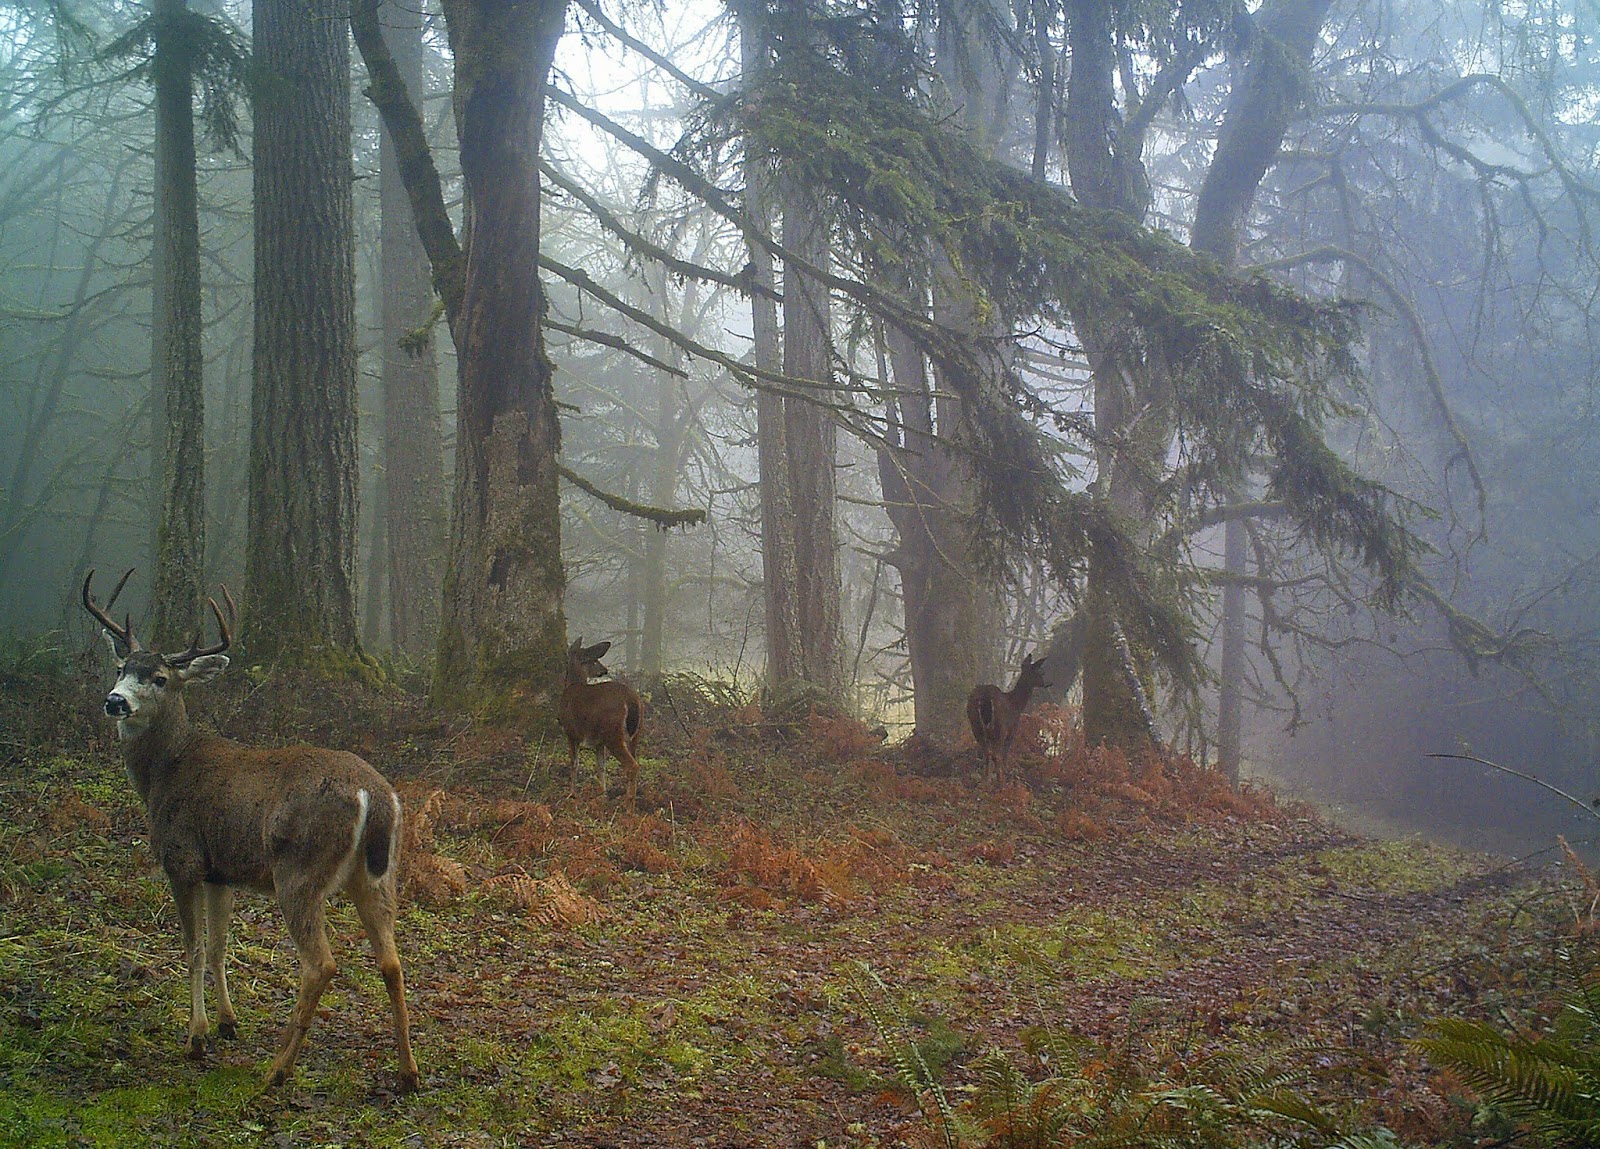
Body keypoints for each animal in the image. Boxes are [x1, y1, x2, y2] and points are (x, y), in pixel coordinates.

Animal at [81, 569, 419, 1092]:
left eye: (160, 678)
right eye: (121, 668)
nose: (115, 701)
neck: (165, 771)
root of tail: (375, 795)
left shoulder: (182, 858)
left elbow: (194, 948)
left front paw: (196, 1038)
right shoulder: (220, 871)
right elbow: (220, 946)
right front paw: (227, 1023)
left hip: (298, 870)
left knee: (321, 964)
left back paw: (279, 1069)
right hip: (377, 876)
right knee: (392, 961)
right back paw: (407, 1074)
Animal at [557, 637, 642, 807]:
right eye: (595, 660)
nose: (605, 670)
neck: (573, 685)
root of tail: (632, 701)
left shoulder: (571, 732)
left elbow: (574, 763)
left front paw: (572, 794)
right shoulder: (598, 742)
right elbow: (601, 767)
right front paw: (603, 794)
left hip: (613, 734)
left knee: (632, 766)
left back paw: (628, 806)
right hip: (636, 734)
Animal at [966, 652, 1051, 786]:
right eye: (1041, 672)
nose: (1048, 683)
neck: (1016, 704)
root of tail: (985, 696)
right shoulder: (1013, 729)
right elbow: (1005, 754)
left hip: (976, 725)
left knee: (987, 752)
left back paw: (986, 781)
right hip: (1000, 727)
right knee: (997, 755)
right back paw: (1001, 783)